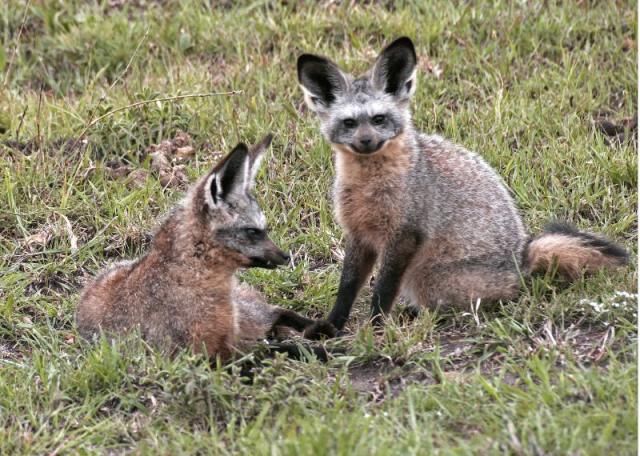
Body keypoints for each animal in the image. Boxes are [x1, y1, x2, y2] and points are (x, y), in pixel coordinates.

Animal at [76, 135, 335, 359]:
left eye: (265, 229)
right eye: (253, 231)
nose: (286, 256)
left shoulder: (228, 341)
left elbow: (278, 346)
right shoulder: (206, 354)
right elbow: (275, 351)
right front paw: (320, 351)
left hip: (251, 317)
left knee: (277, 312)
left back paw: (323, 329)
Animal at [297, 37, 629, 335]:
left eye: (379, 119)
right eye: (350, 123)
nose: (366, 141)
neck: (370, 187)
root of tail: (522, 259)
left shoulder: (404, 235)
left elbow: (383, 289)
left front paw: (375, 327)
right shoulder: (359, 234)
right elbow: (348, 286)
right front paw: (332, 325)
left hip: (426, 279)